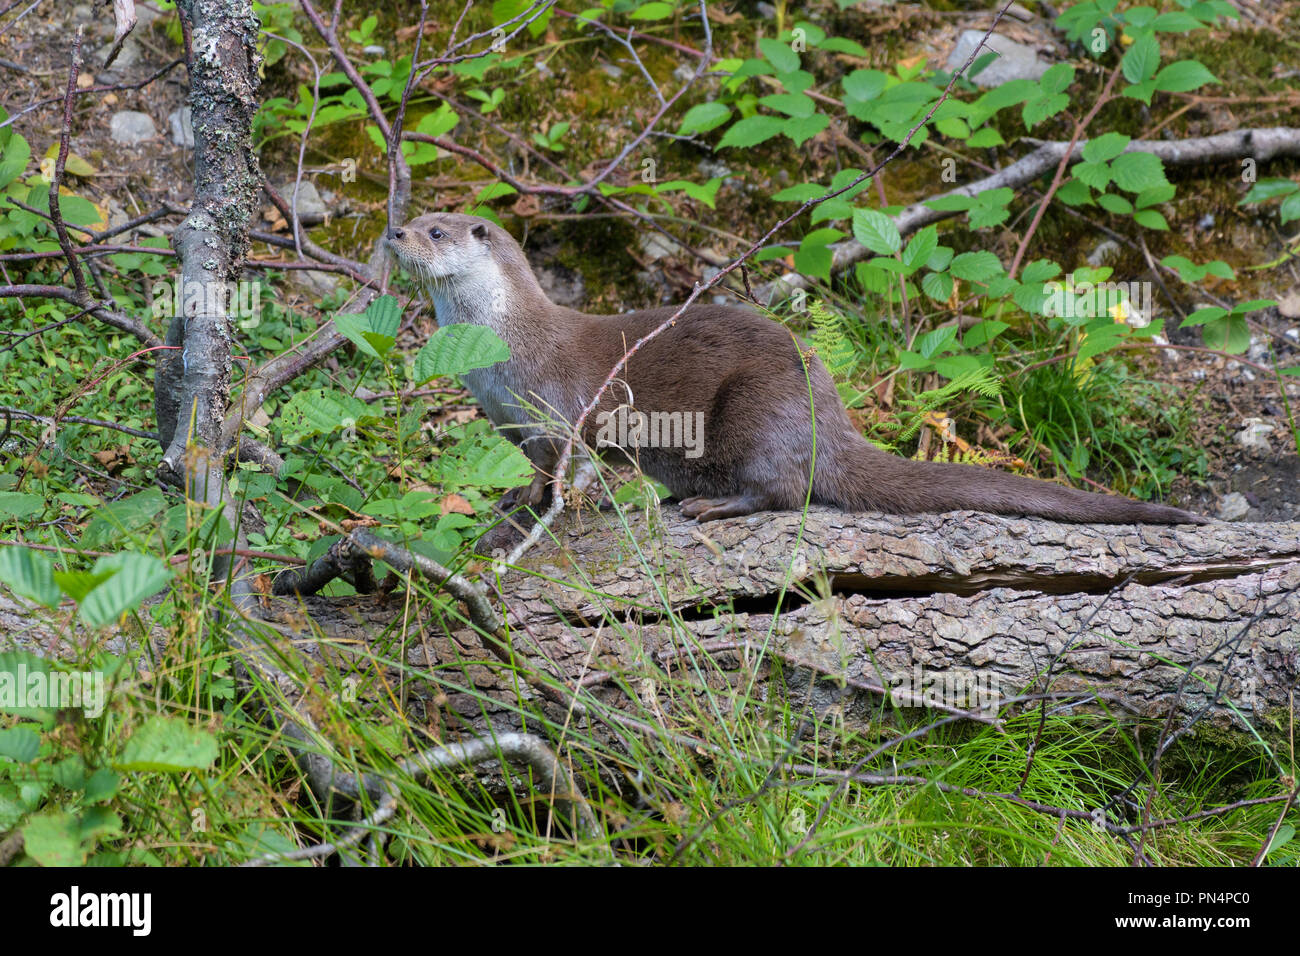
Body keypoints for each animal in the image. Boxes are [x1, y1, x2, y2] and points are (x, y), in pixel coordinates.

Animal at [385, 212, 1205, 526]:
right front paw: (511, 500)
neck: (502, 351)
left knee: (786, 490)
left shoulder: (556, 408)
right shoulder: (508, 420)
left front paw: (542, 512)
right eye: (415, 218)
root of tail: (831, 417)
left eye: (437, 230)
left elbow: (563, 469)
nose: (394, 233)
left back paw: (715, 507)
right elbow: (529, 472)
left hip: (756, 407)